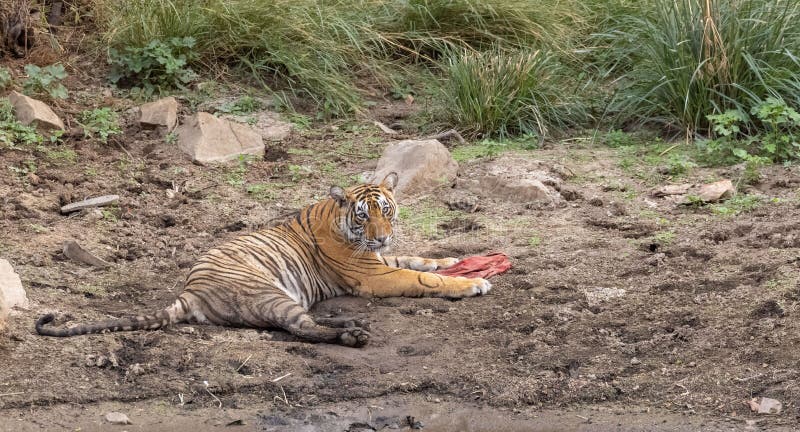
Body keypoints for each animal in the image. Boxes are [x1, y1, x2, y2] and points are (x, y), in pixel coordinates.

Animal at [36, 173, 492, 347]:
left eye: (387, 210)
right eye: (364, 216)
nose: (380, 236)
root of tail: (188, 292)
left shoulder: (382, 259)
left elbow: (416, 259)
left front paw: (452, 258)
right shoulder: (372, 275)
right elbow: (419, 279)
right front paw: (472, 283)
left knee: (308, 323)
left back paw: (352, 324)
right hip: (269, 293)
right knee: (302, 327)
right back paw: (354, 334)